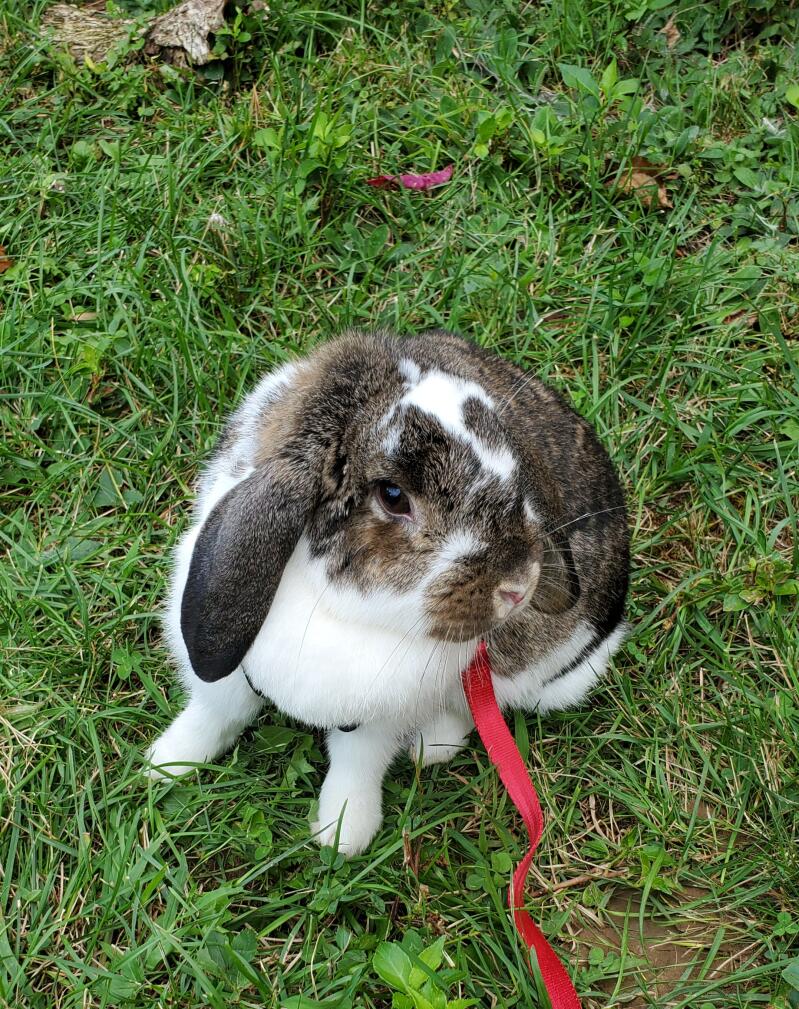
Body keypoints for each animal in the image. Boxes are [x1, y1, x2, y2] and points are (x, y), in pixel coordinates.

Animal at [146, 329, 629, 855]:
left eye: (514, 480)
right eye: (393, 496)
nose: (519, 588)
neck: (334, 606)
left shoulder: (376, 716)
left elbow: (356, 765)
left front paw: (342, 833)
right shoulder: (232, 670)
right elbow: (217, 713)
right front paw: (166, 763)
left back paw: (431, 746)